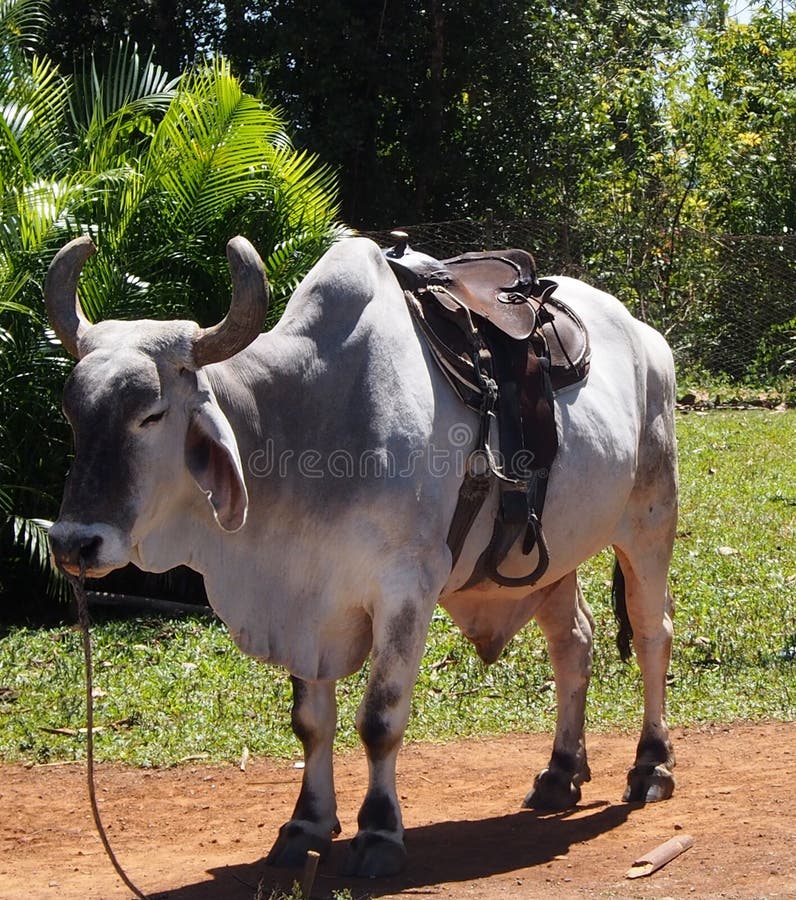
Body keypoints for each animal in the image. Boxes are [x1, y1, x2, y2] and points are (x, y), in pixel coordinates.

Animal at [46, 234, 678, 878]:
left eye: (151, 415)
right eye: (74, 413)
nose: (73, 542)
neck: (309, 425)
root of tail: (644, 337)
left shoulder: (405, 589)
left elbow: (379, 719)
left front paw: (378, 832)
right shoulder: (305, 602)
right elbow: (310, 724)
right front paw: (305, 824)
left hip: (650, 522)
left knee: (652, 632)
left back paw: (651, 764)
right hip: (550, 559)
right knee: (573, 644)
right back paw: (560, 771)